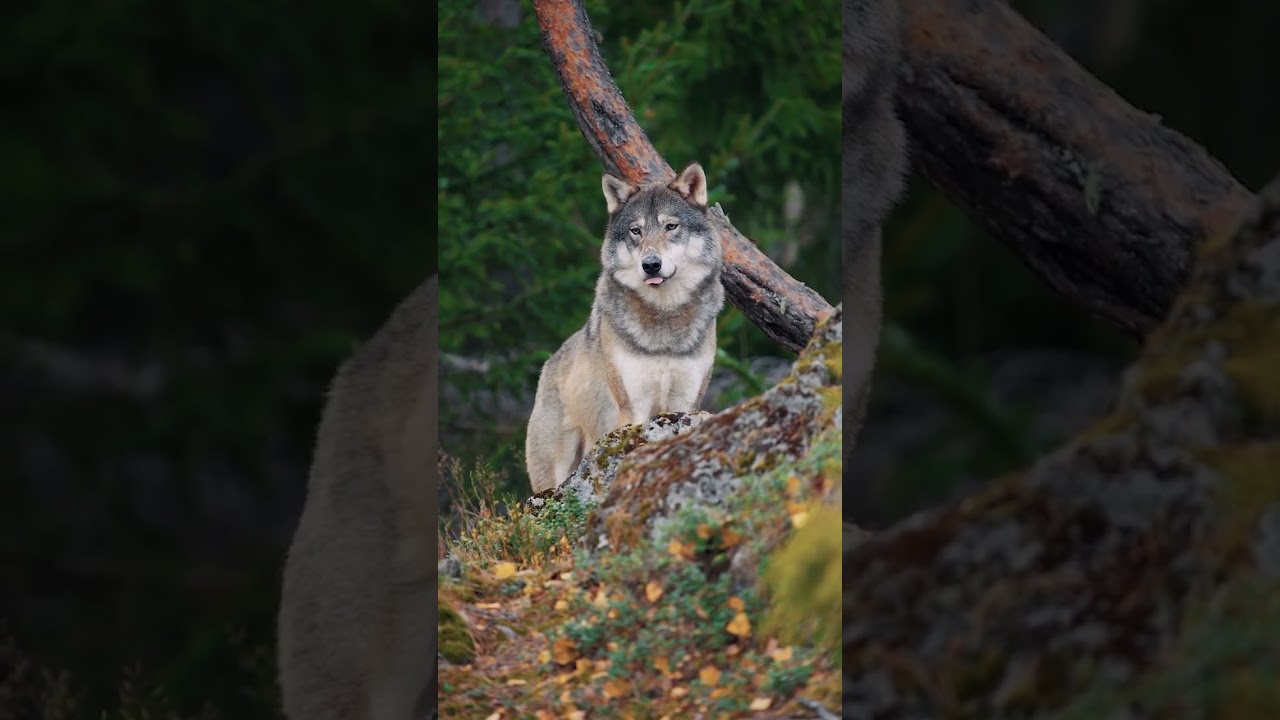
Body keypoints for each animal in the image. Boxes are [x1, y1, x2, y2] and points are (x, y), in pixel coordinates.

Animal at [525, 163, 725, 493]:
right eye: (636, 231)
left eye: (671, 227)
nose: (651, 265)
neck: (664, 320)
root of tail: (549, 365)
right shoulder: (633, 408)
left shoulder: (685, 406)